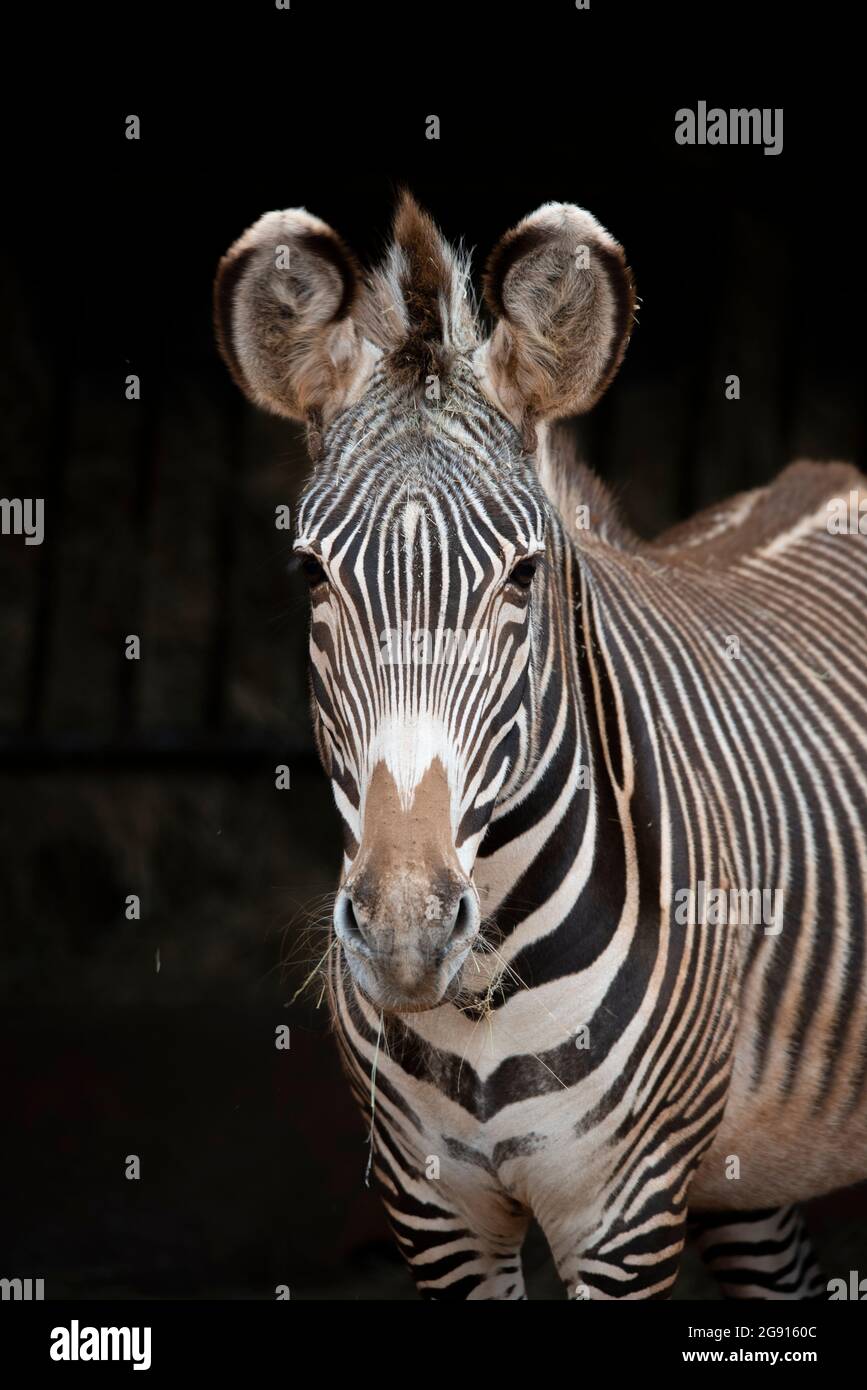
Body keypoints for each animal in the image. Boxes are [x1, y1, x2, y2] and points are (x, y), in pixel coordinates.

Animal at [214, 192, 867, 1299]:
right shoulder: (434, 1213)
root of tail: (836, 473)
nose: (404, 933)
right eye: (310, 574)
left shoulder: (626, 1214)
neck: (481, 998)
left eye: (522, 576)